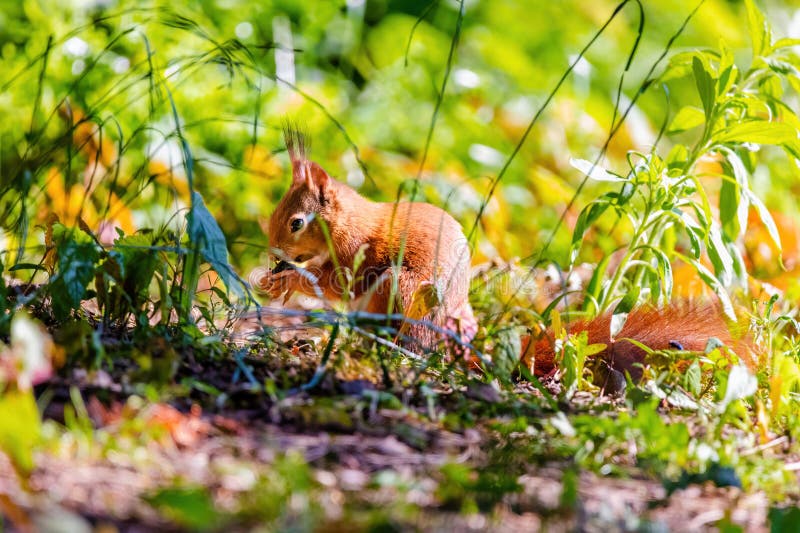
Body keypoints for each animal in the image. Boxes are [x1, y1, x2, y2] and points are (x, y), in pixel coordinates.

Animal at [250, 128, 477, 353]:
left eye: (296, 224)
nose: (273, 253)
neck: (346, 223)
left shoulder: (356, 255)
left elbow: (334, 284)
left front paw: (290, 280)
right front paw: (271, 281)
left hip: (403, 291)